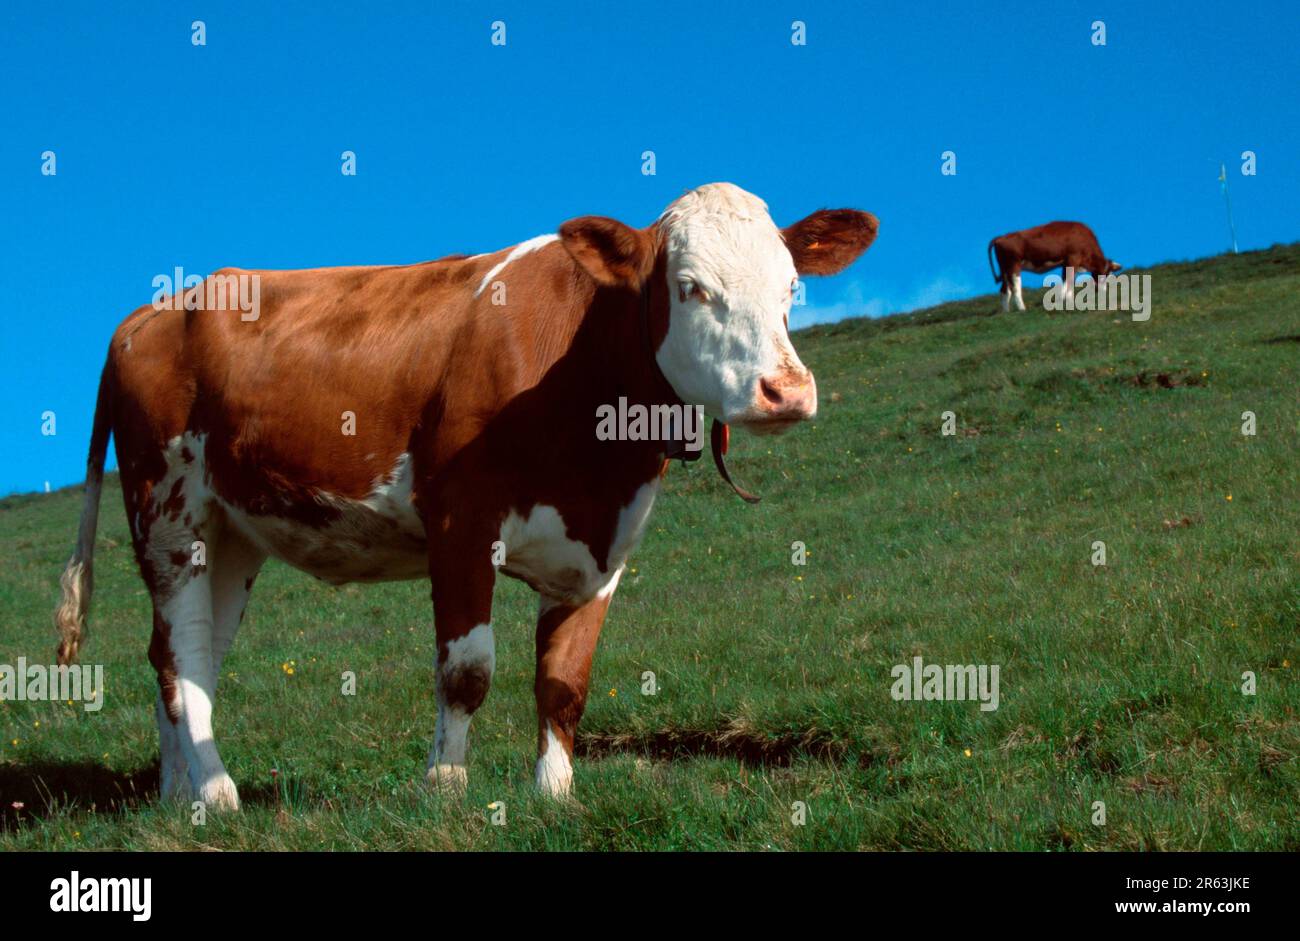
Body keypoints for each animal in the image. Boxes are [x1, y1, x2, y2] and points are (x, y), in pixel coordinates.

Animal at [53, 183, 878, 809]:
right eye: (691, 288)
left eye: (791, 287)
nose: (787, 390)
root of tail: (152, 311)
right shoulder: (460, 520)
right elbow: (468, 671)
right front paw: (446, 788)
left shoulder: (602, 551)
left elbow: (564, 680)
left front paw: (554, 793)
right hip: (167, 508)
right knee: (182, 650)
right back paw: (218, 792)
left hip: (231, 530)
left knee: (185, 651)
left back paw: (179, 793)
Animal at [988, 221, 1121, 312]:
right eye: (1106, 274)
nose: (1104, 292)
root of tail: (1002, 237)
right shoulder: (1073, 258)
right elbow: (1069, 280)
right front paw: (1067, 300)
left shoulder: (1066, 263)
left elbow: (1065, 280)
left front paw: (1064, 299)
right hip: (1013, 265)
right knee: (1015, 287)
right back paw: (1022, 309)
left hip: (1005, 269)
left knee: (1005, 290)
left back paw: (1007, 313)